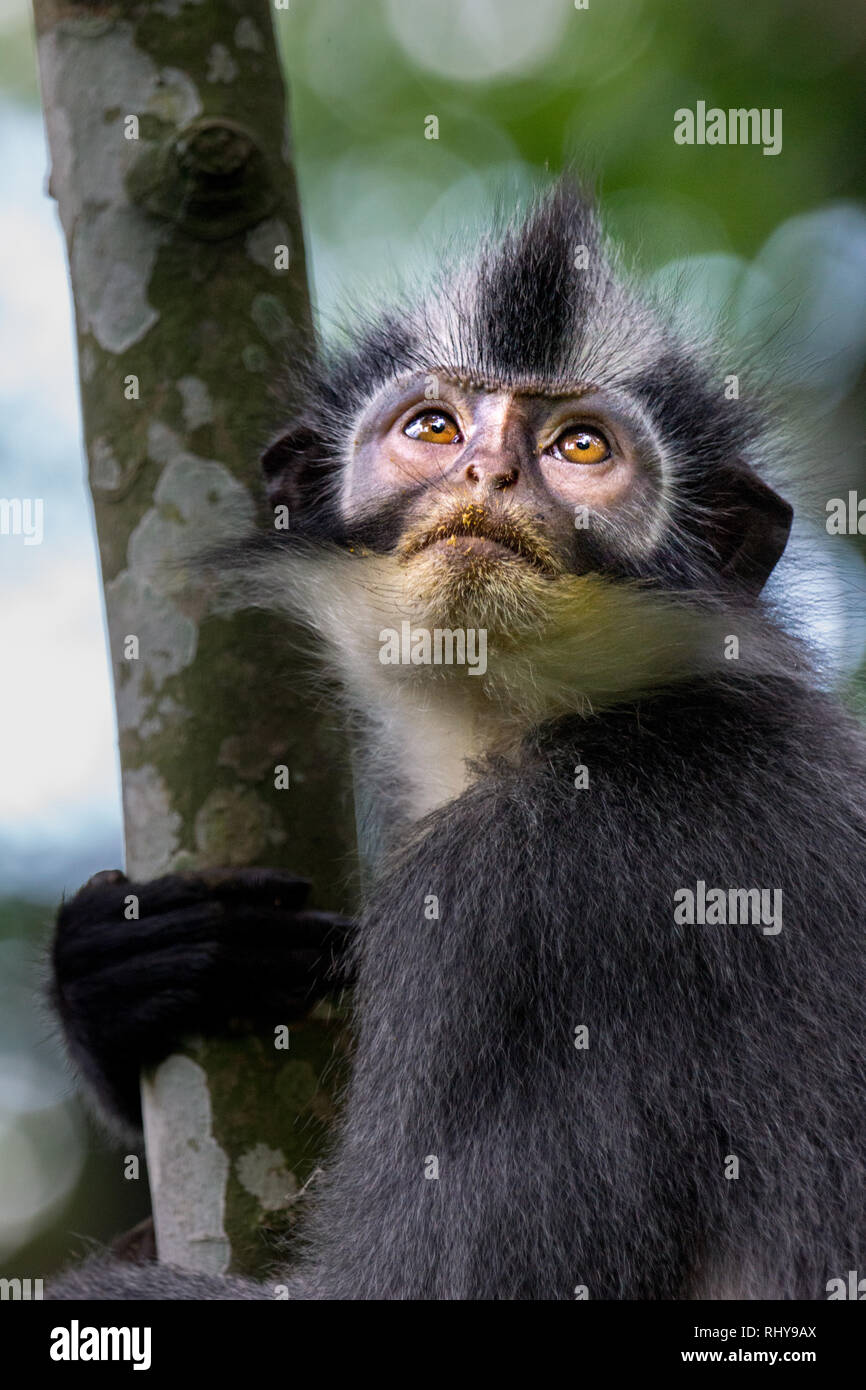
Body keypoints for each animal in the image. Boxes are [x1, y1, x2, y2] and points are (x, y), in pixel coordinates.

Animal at [47, 181, 866, 1300]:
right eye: (433, 426)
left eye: (580, 448)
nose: (485, 470)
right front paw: (118, 972)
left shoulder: (526, 903)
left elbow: (394, 1286)